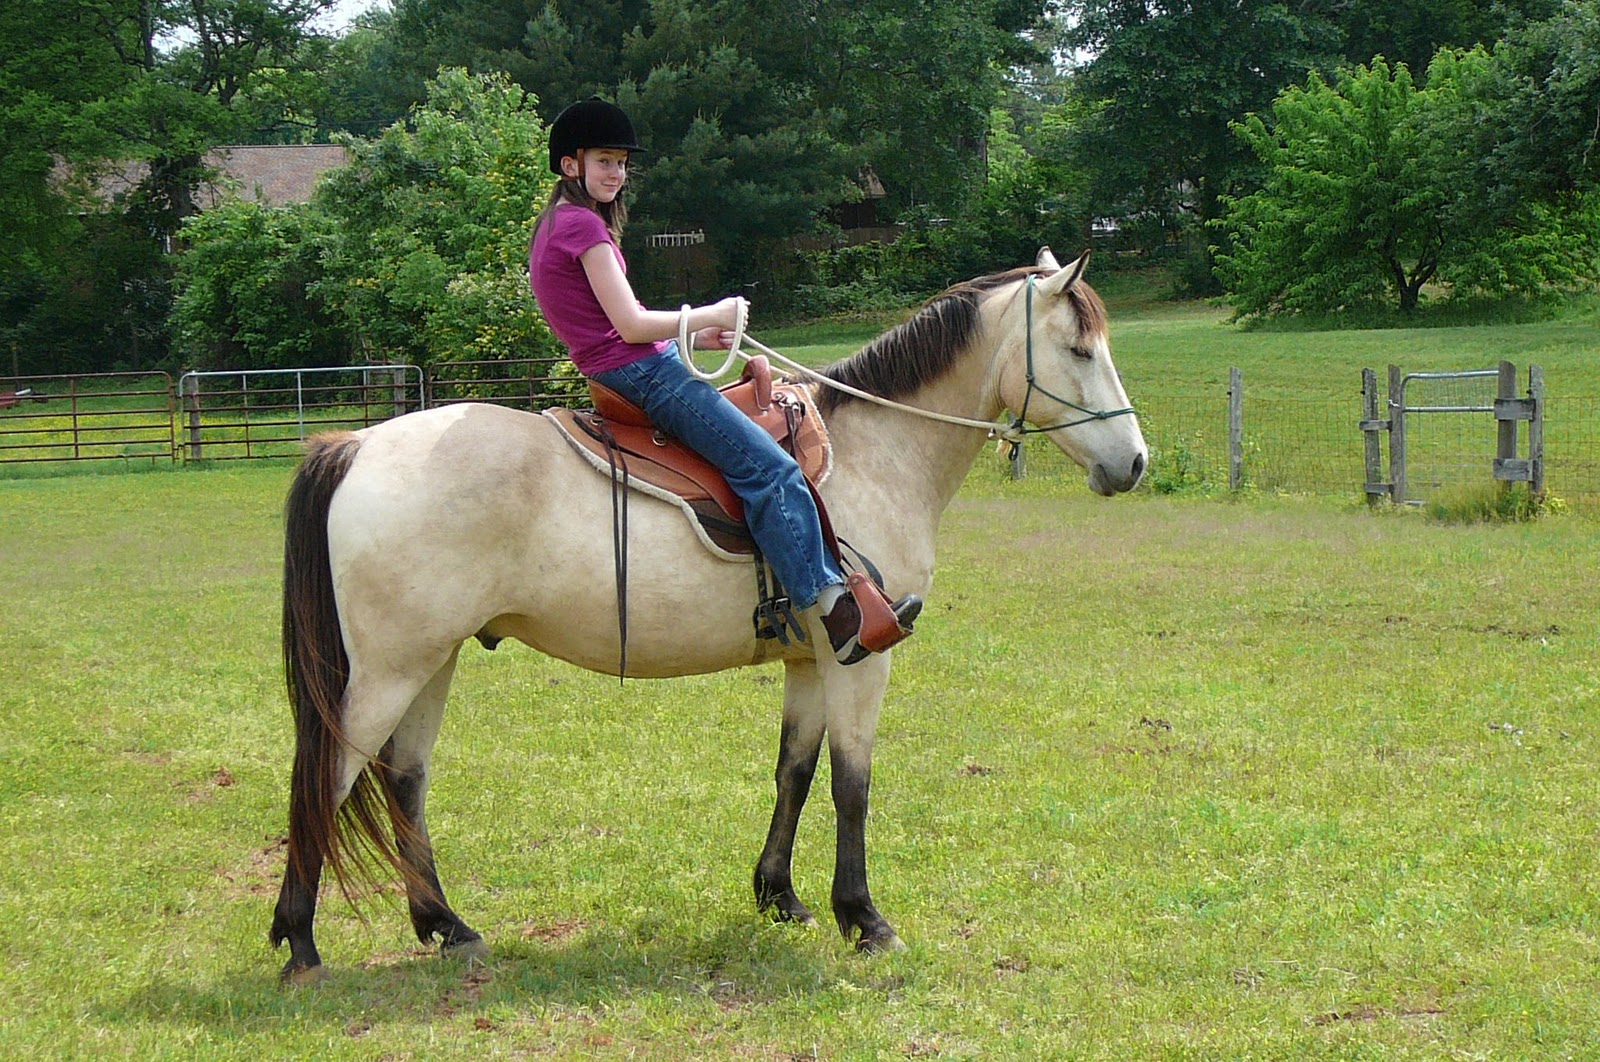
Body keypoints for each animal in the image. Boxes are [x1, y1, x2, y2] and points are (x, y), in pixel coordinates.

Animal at [269, 248, 1147, 984]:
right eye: (1079, 350)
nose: (1135, 464)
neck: (874, 454)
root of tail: (355, 447)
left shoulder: (810, 659)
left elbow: (796, 771)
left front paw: (780, 897)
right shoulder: (864, 656)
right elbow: (852, 785)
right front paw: (864, 919)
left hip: (434, 658)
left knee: (403, 780)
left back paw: (446, 926)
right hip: (391, 668)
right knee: (328, 774)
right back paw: (301, 942)